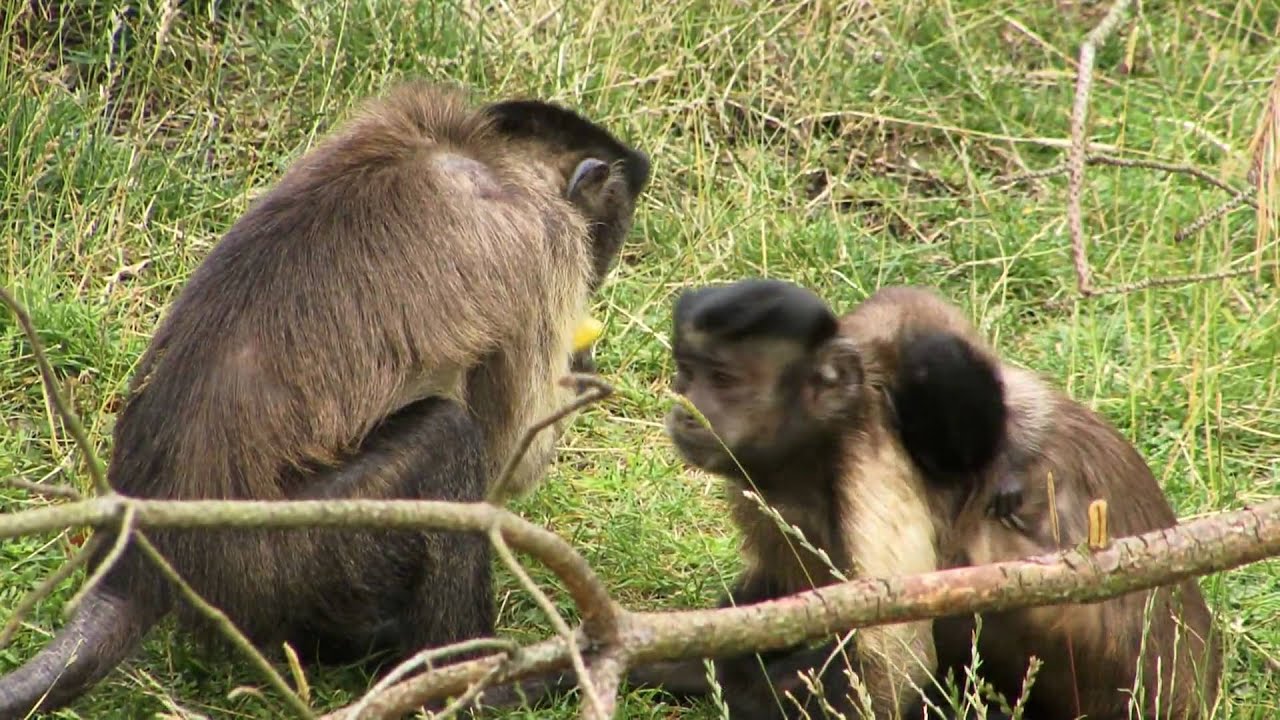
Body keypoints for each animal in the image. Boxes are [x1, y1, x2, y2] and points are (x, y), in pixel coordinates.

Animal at [0, 81, 650, 718]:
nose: (603, 270)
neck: (485, 155)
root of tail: (141, 556)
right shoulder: (543, 239)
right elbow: (511, 452)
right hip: (275, 557)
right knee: (447, 438)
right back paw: (474, 686)